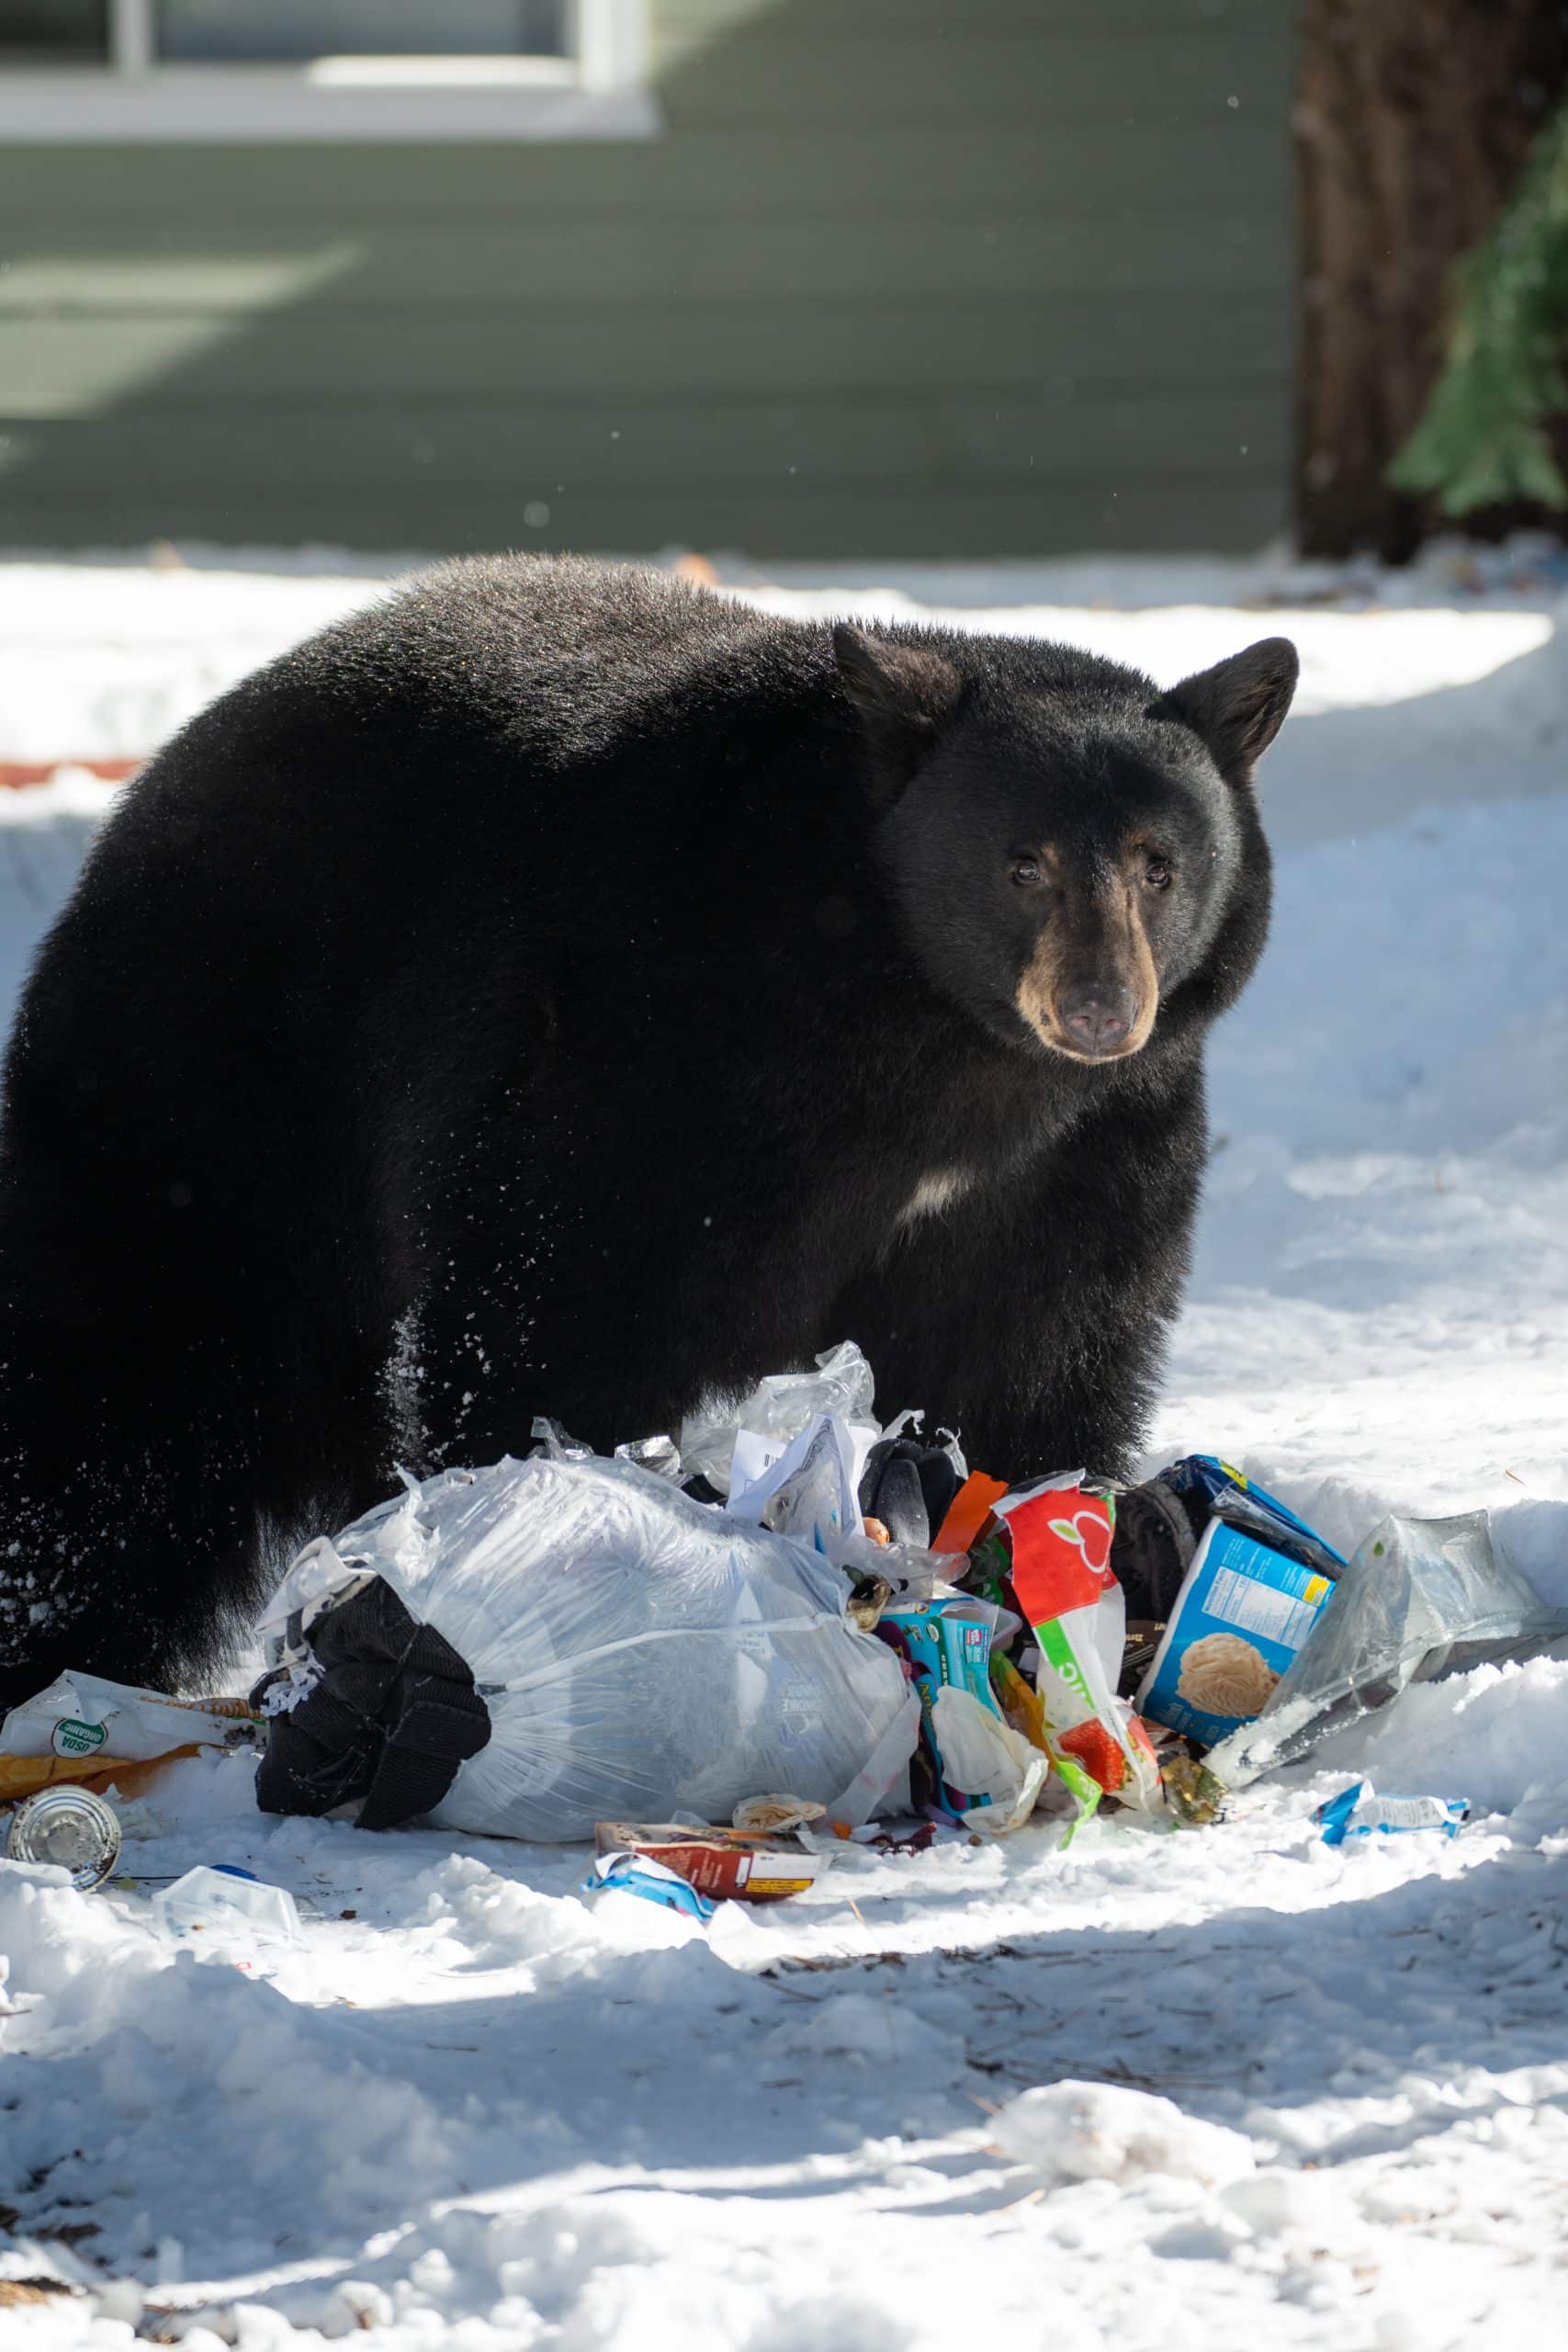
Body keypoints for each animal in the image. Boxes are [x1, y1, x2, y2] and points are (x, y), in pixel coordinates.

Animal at [0, 556, 1296, 1695]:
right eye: (1022, 864)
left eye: (1160, 864)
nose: (1099, 1008)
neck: (938, 1053)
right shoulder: (659, 1053)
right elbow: (566, 1309)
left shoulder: (1082, 1148)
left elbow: (1032, 1347)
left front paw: (1056, 1560)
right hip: (210, 1093)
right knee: (121, 1418)